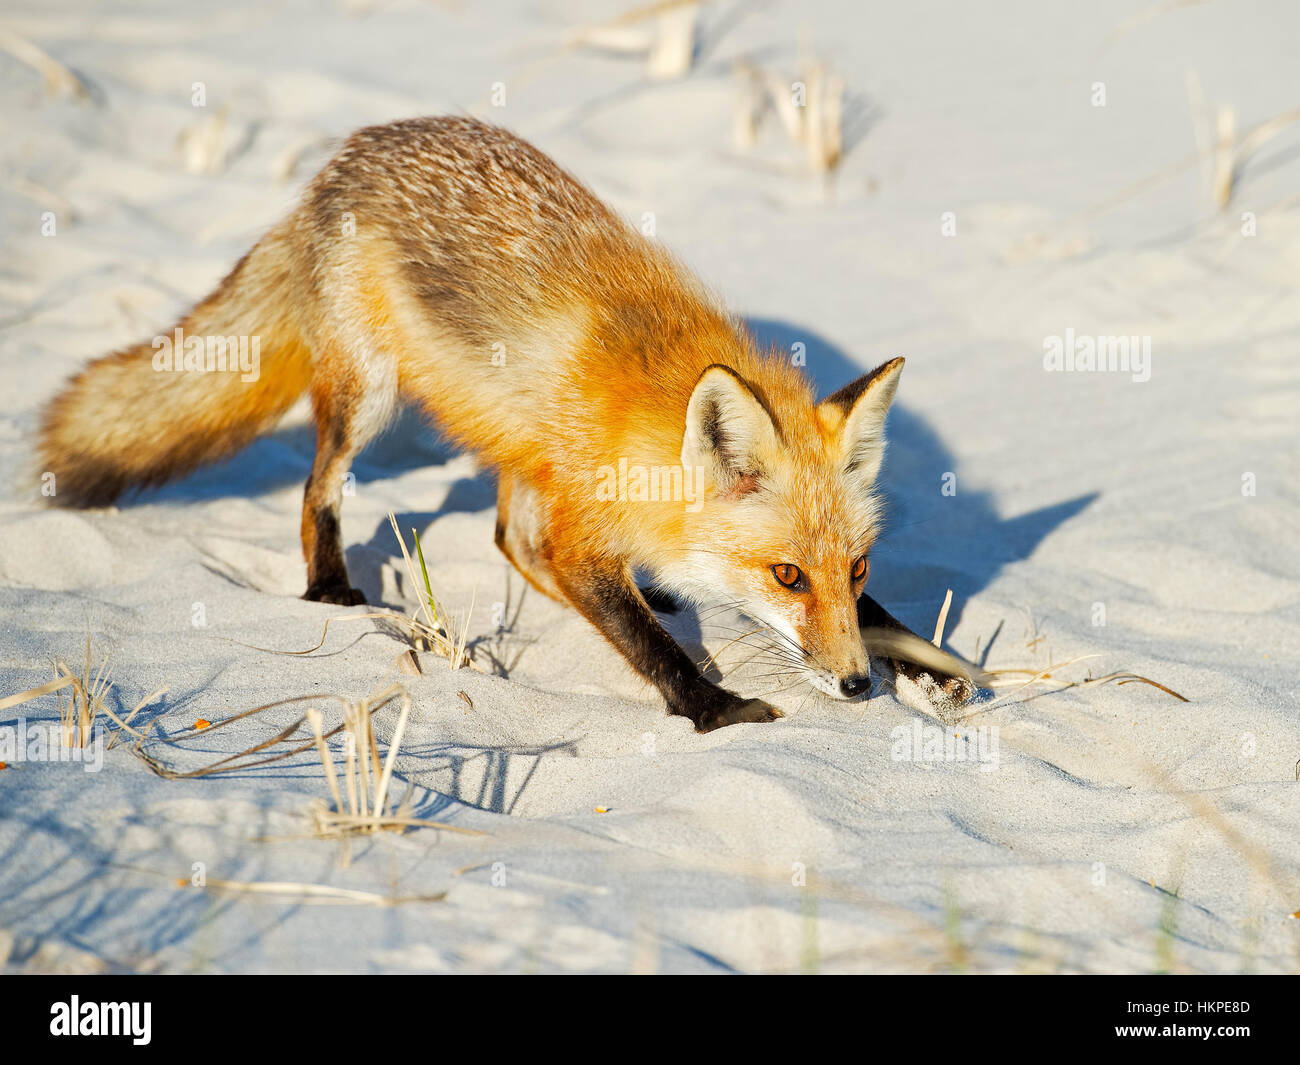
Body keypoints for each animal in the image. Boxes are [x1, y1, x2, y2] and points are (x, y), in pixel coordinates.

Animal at [38, 115, 975, 732]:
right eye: (786, 576)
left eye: (856, 567)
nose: (854, 687)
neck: (645, 431)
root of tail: (345, 154)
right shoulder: (581, 531)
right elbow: (648, 643)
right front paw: (714, 707)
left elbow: (889, 621)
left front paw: (936, 669)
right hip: (369, 399)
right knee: (321, 491)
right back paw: (330, 585)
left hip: (516, 440)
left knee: (507, 540)